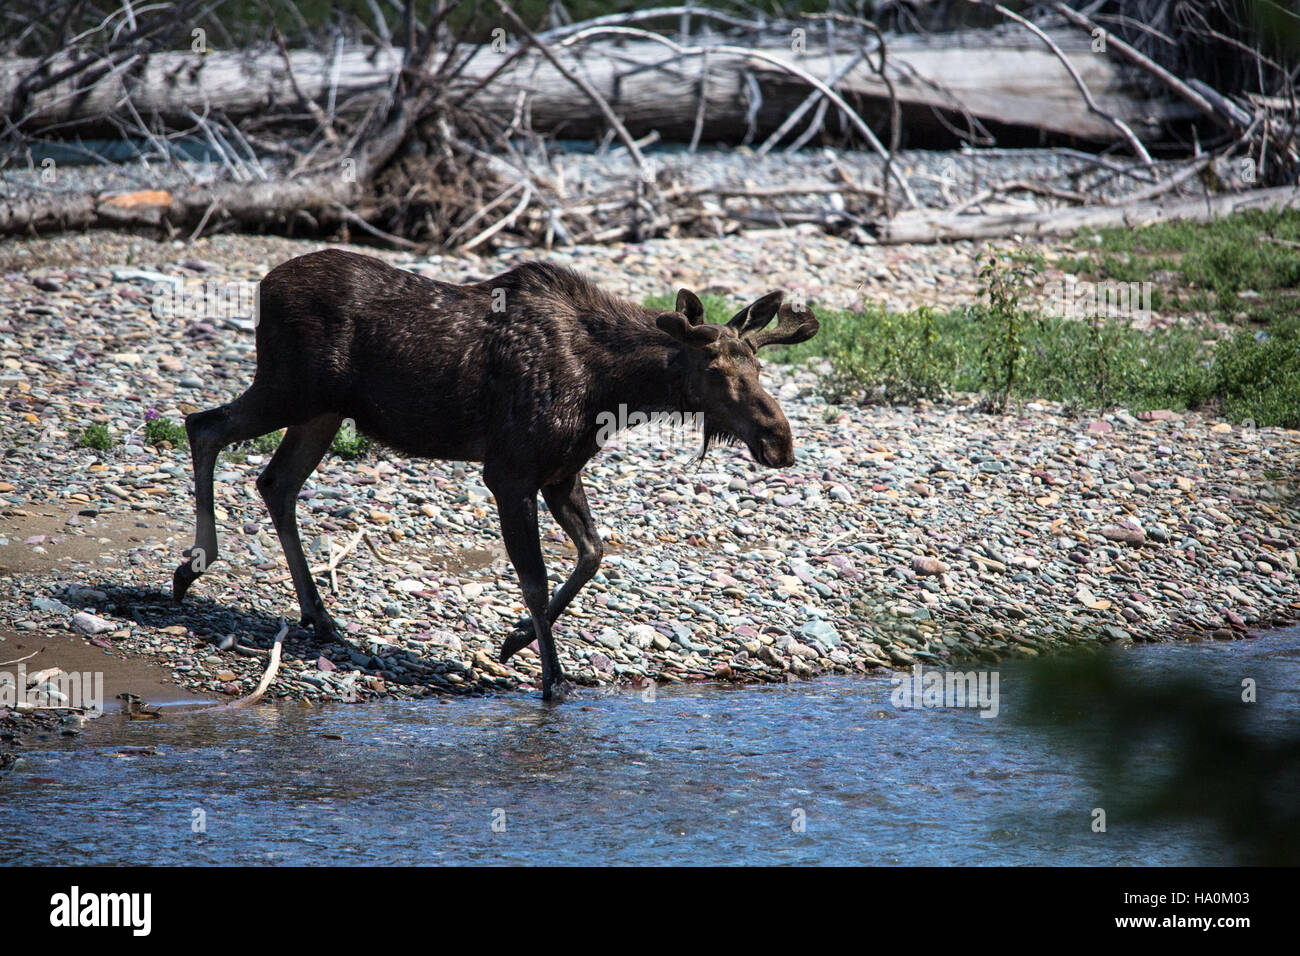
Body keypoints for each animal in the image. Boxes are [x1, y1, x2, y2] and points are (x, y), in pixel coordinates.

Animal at [171, 249, 819, 700]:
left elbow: (593, 553)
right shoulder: (509, 471)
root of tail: (263, 285)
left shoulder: (560, 472)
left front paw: (513, 641)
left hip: (321, 411)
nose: (778, 441)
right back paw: (193, 566)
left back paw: (319, 616)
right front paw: (552, 679)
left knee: (274, 481)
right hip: (291, 389)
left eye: (758, 365)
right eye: (714, 369)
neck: (615, 388)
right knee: (203, 425)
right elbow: (533, 577)